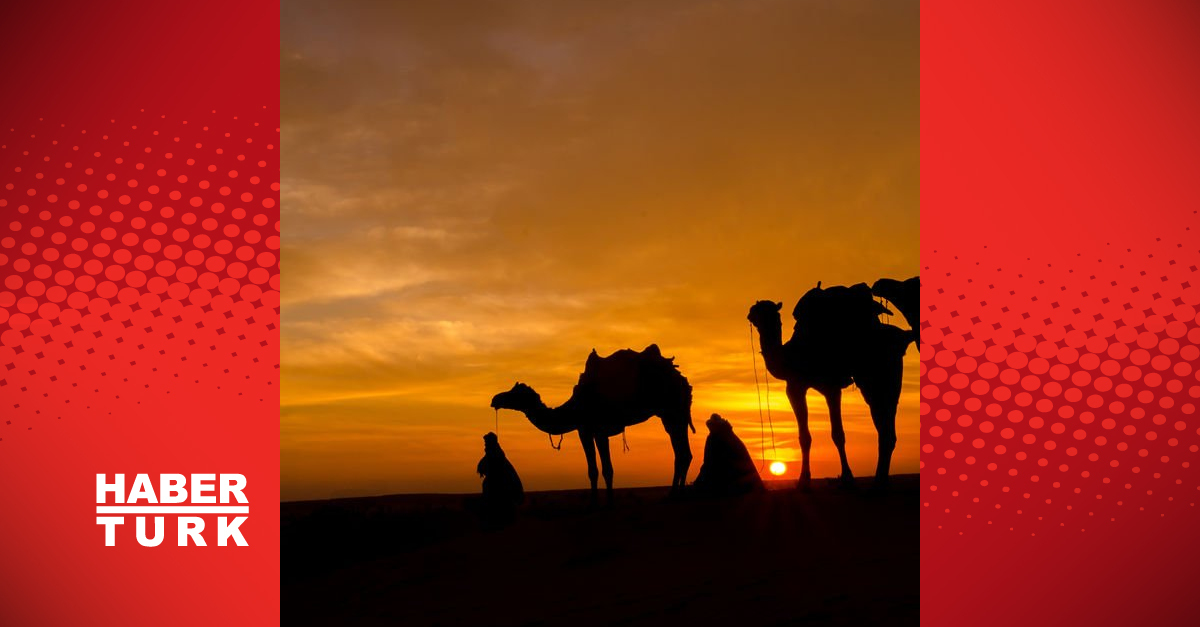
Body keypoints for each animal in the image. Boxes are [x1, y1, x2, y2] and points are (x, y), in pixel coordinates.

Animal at [490, 344, 695, 502]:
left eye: (515, 393)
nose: (495, 399)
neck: (576, 408)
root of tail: (683, 380)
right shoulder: (585, 431)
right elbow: (593, 470)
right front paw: (594, 503)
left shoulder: (599, 430)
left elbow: (607, 469)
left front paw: (609, 503)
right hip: (673, 416)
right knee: (683, 453)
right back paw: (675, 495)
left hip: (673, 411)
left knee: (682, 453)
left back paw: (675, 495)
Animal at [746, 277, 919, 490]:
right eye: (757, 310)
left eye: (767, 312)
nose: (751, 314)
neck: (792, 356)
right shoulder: (797, 386)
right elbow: (806, 436)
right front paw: (807, 480)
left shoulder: (828, 387)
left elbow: (836, 434)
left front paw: (845, 478)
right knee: (885, 423)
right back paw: (881, 481)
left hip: (879, 375)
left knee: (884, 422)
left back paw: (879, 482)